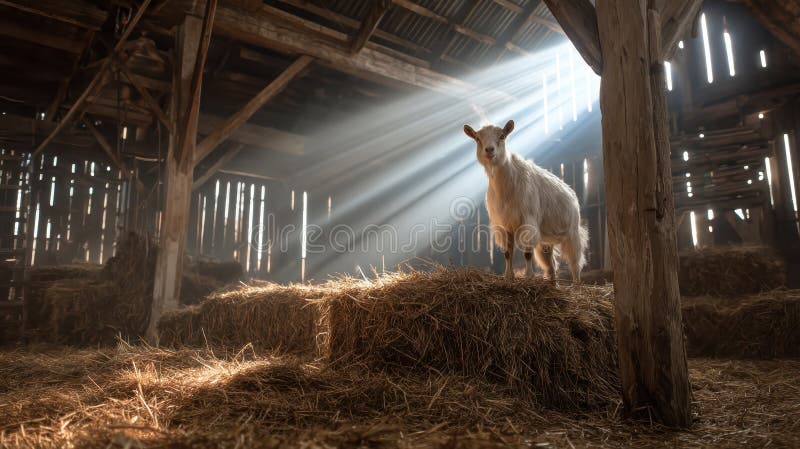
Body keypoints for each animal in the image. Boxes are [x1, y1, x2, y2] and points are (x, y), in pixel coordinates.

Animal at [463, 120, 588, 282]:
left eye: (502, 136)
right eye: (477, 138)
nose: (489, 150)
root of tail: (571, 193)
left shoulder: (527, 222)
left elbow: (527, 253)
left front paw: (528, 276)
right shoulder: (504, 225)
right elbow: (508, 252)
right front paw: (508, 276)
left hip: (572, 233)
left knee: (575, 263)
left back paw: (576, 284)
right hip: (546, 240)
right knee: (551, 264)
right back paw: (553, 283)